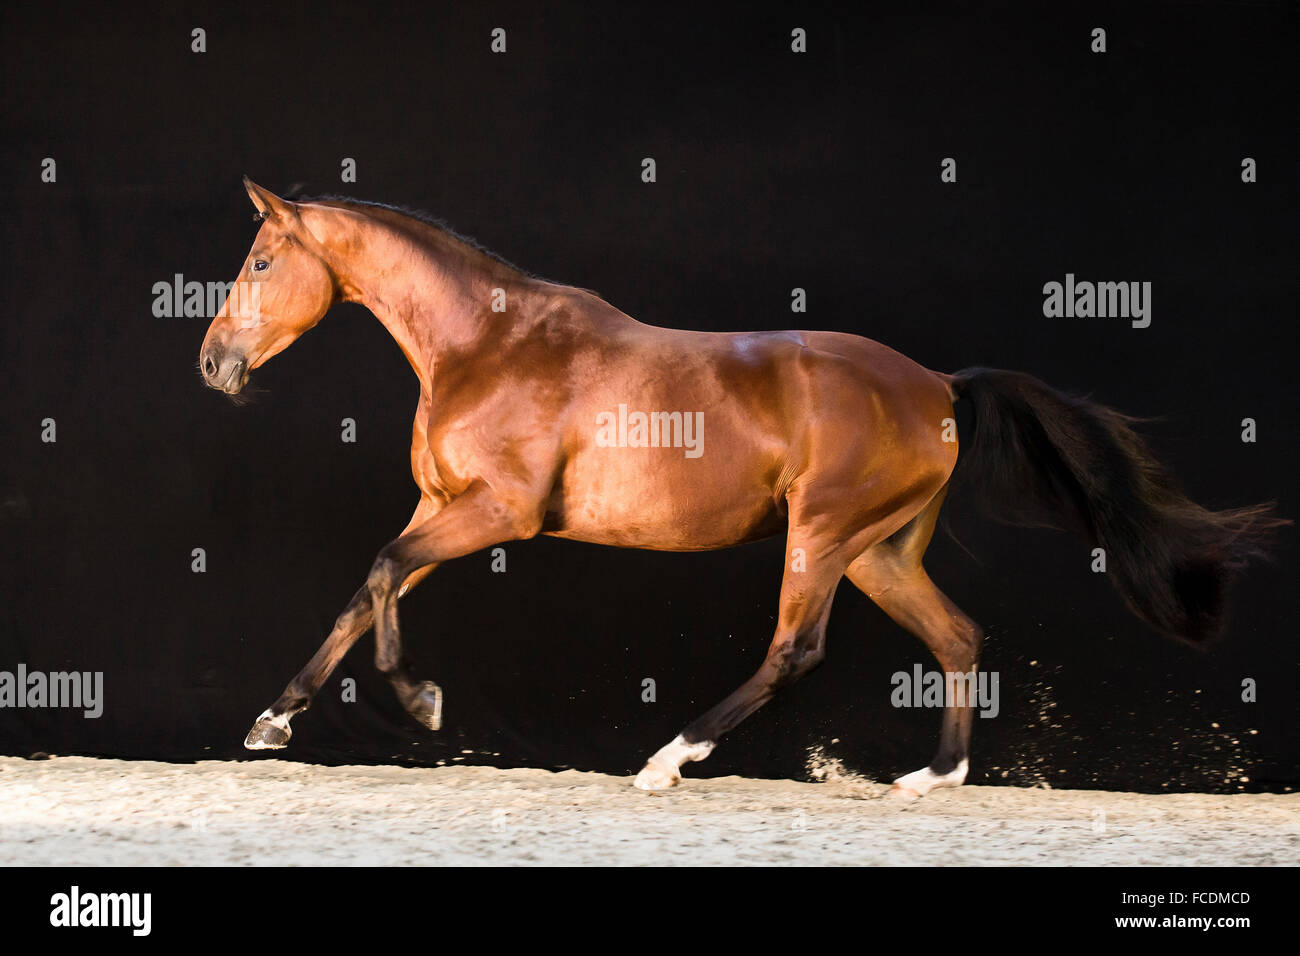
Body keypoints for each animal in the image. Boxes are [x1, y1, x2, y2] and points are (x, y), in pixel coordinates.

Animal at [198, 178, 1284, 797]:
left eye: (261, 258)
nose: (211, 364)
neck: (489, 343)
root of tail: (939, 384)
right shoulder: (444, 509)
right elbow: (364, 588)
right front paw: (273, 721)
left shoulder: (496, 513)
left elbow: (382, 572)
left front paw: (419, 700)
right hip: (877, 552)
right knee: (956, 637)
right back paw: (930, 777)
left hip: (822, 535)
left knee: (795, 649)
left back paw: (667, 760)